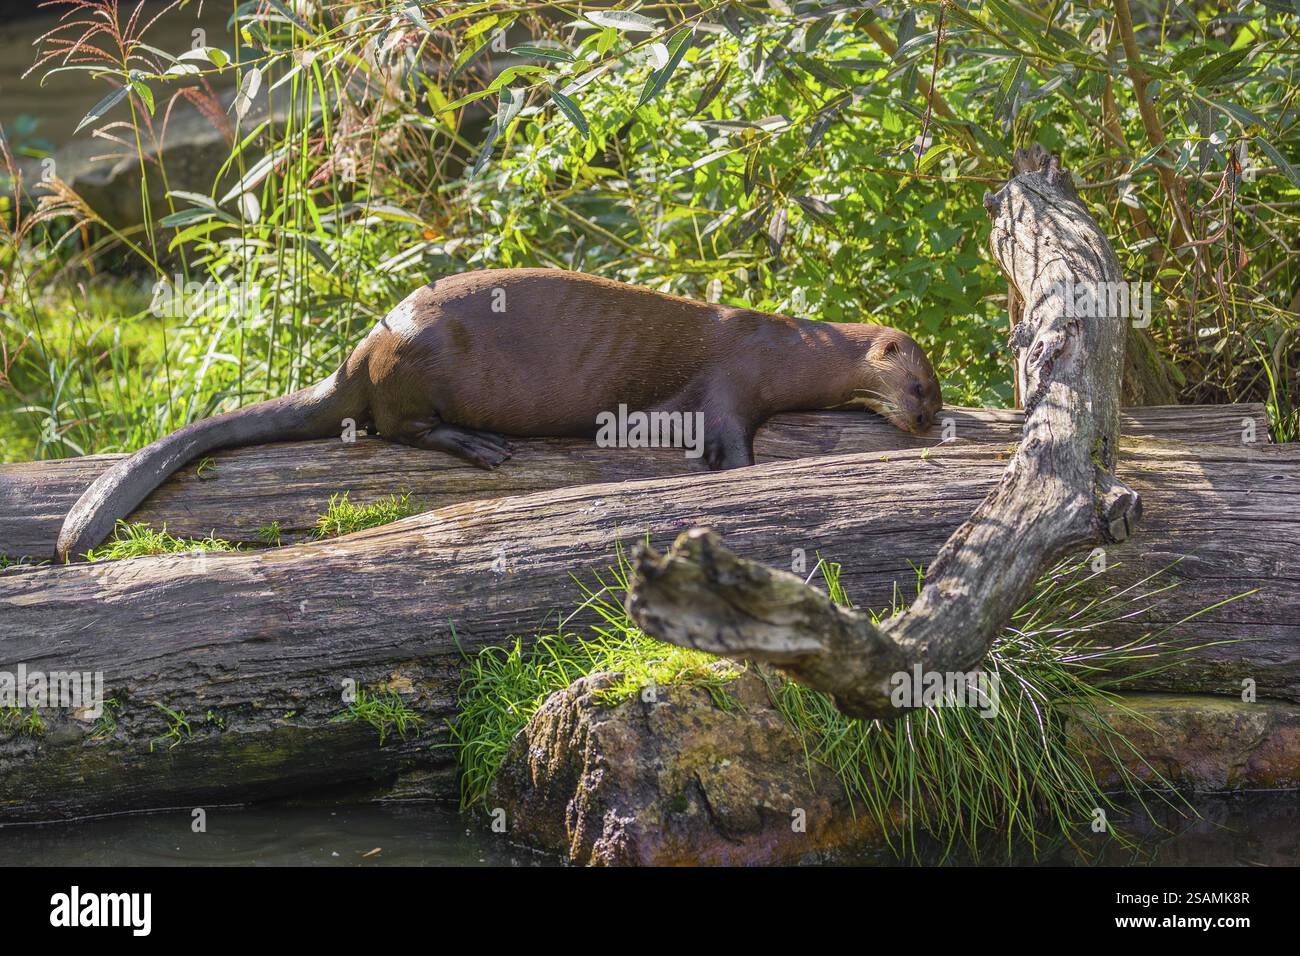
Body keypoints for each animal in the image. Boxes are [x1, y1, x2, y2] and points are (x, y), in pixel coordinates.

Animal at [57, 269, 942, 560]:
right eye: (924, 390)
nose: (933, 426)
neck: (787, 346)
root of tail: (361, 349)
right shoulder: (730, 381)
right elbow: (729, 441)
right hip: (417, 368)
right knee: (394, 428)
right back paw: (479, 446)